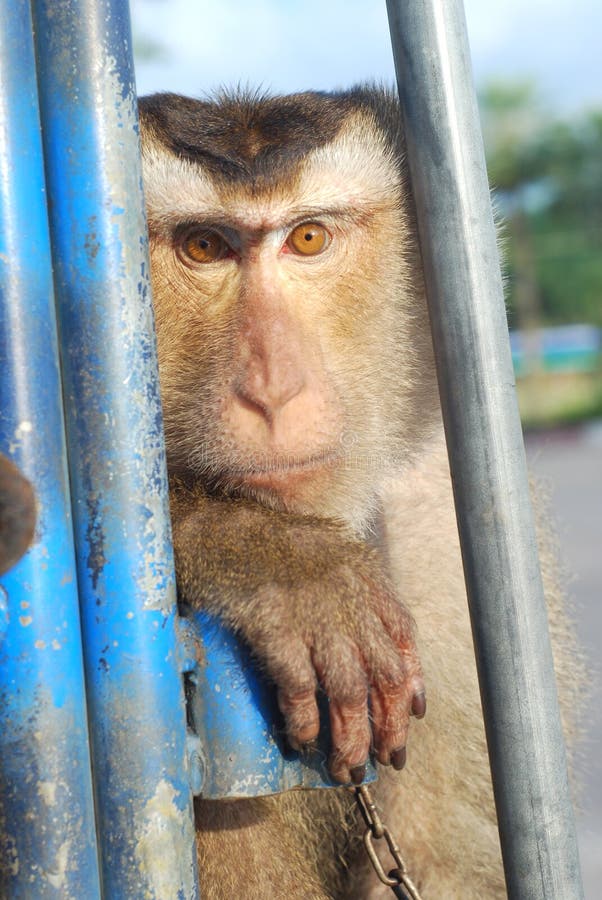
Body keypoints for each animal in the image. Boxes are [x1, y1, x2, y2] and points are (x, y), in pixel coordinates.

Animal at [138, 87, 581, 898]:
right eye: (205, 246)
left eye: (308, 239)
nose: (271, 388)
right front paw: (278, 562)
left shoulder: (437, 526)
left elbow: (444, 861)